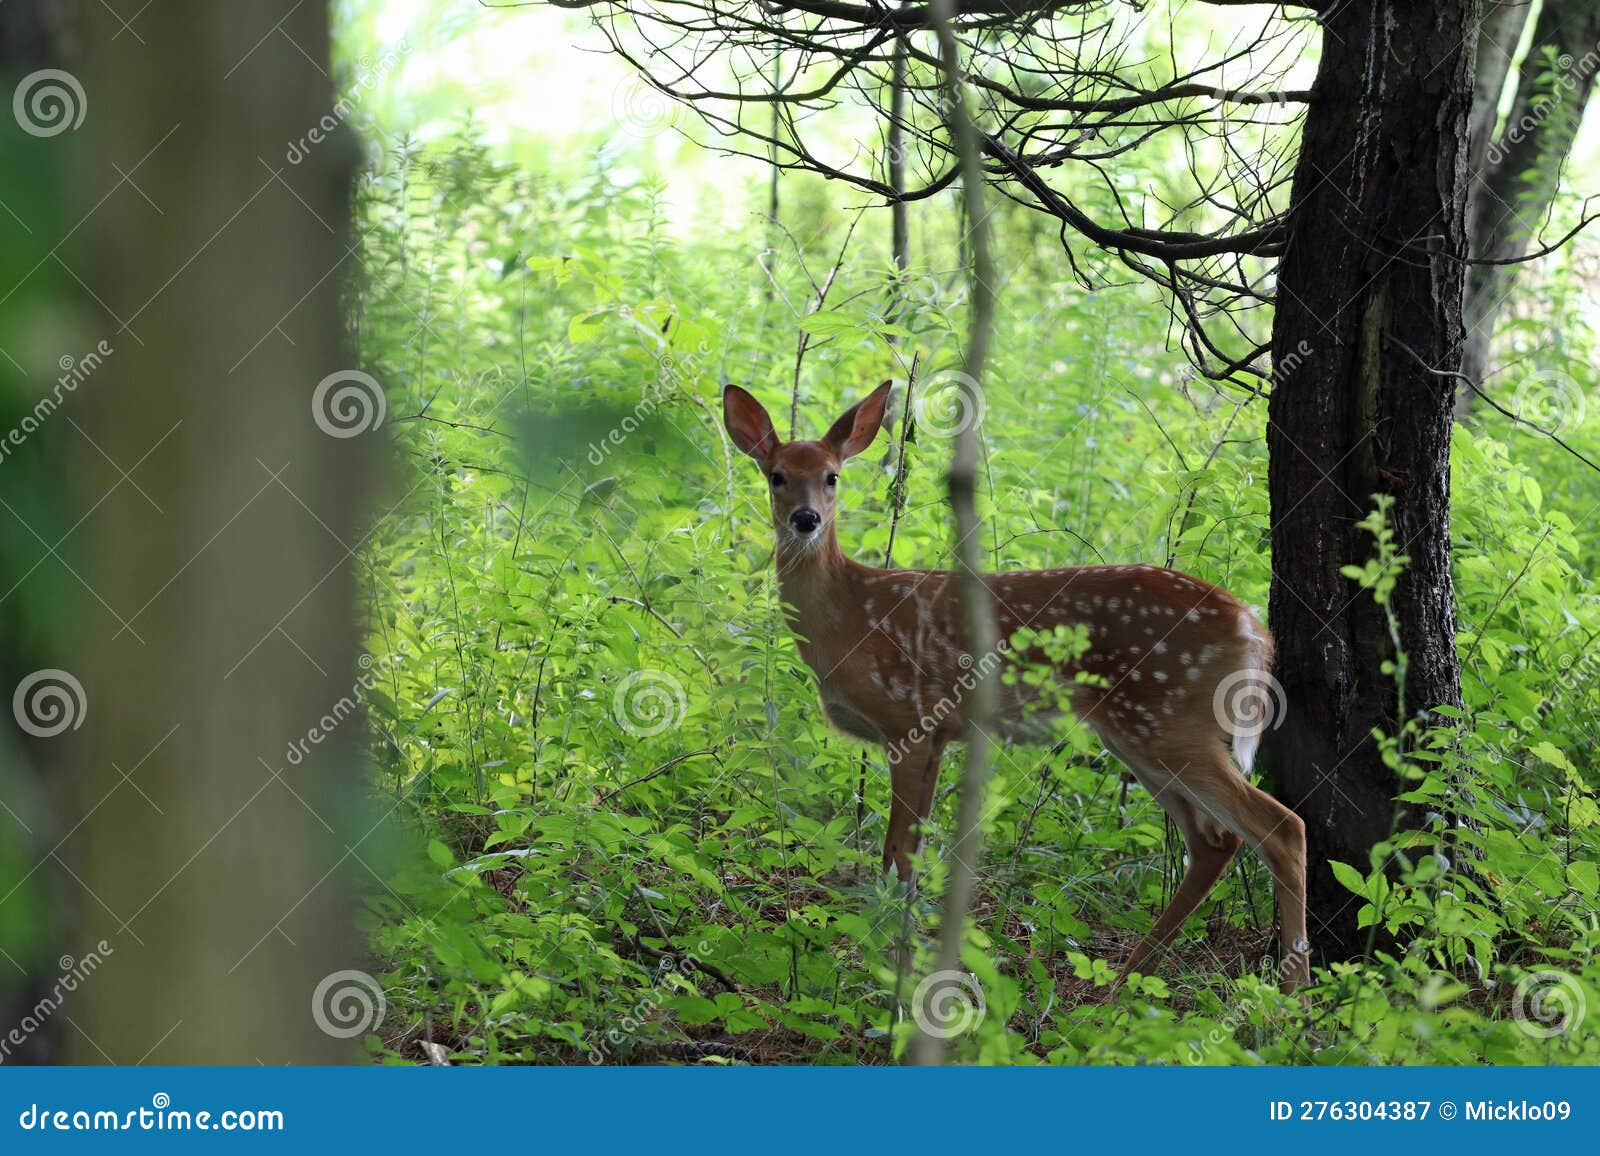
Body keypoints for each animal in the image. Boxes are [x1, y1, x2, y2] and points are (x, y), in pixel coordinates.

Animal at [722, 380, 1310, 992]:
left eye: (832, 475)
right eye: (777, 475)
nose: (806, 519)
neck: (847, 619)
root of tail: (1252, 627)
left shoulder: (909, 721)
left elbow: (897, 855)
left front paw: (893, 974)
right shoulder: (937, 736)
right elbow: (911, 857)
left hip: (1170, 720)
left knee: (1279, 827)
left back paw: (1291, 994)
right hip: (1142, 731)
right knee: (1213, 841)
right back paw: (1125, 983)